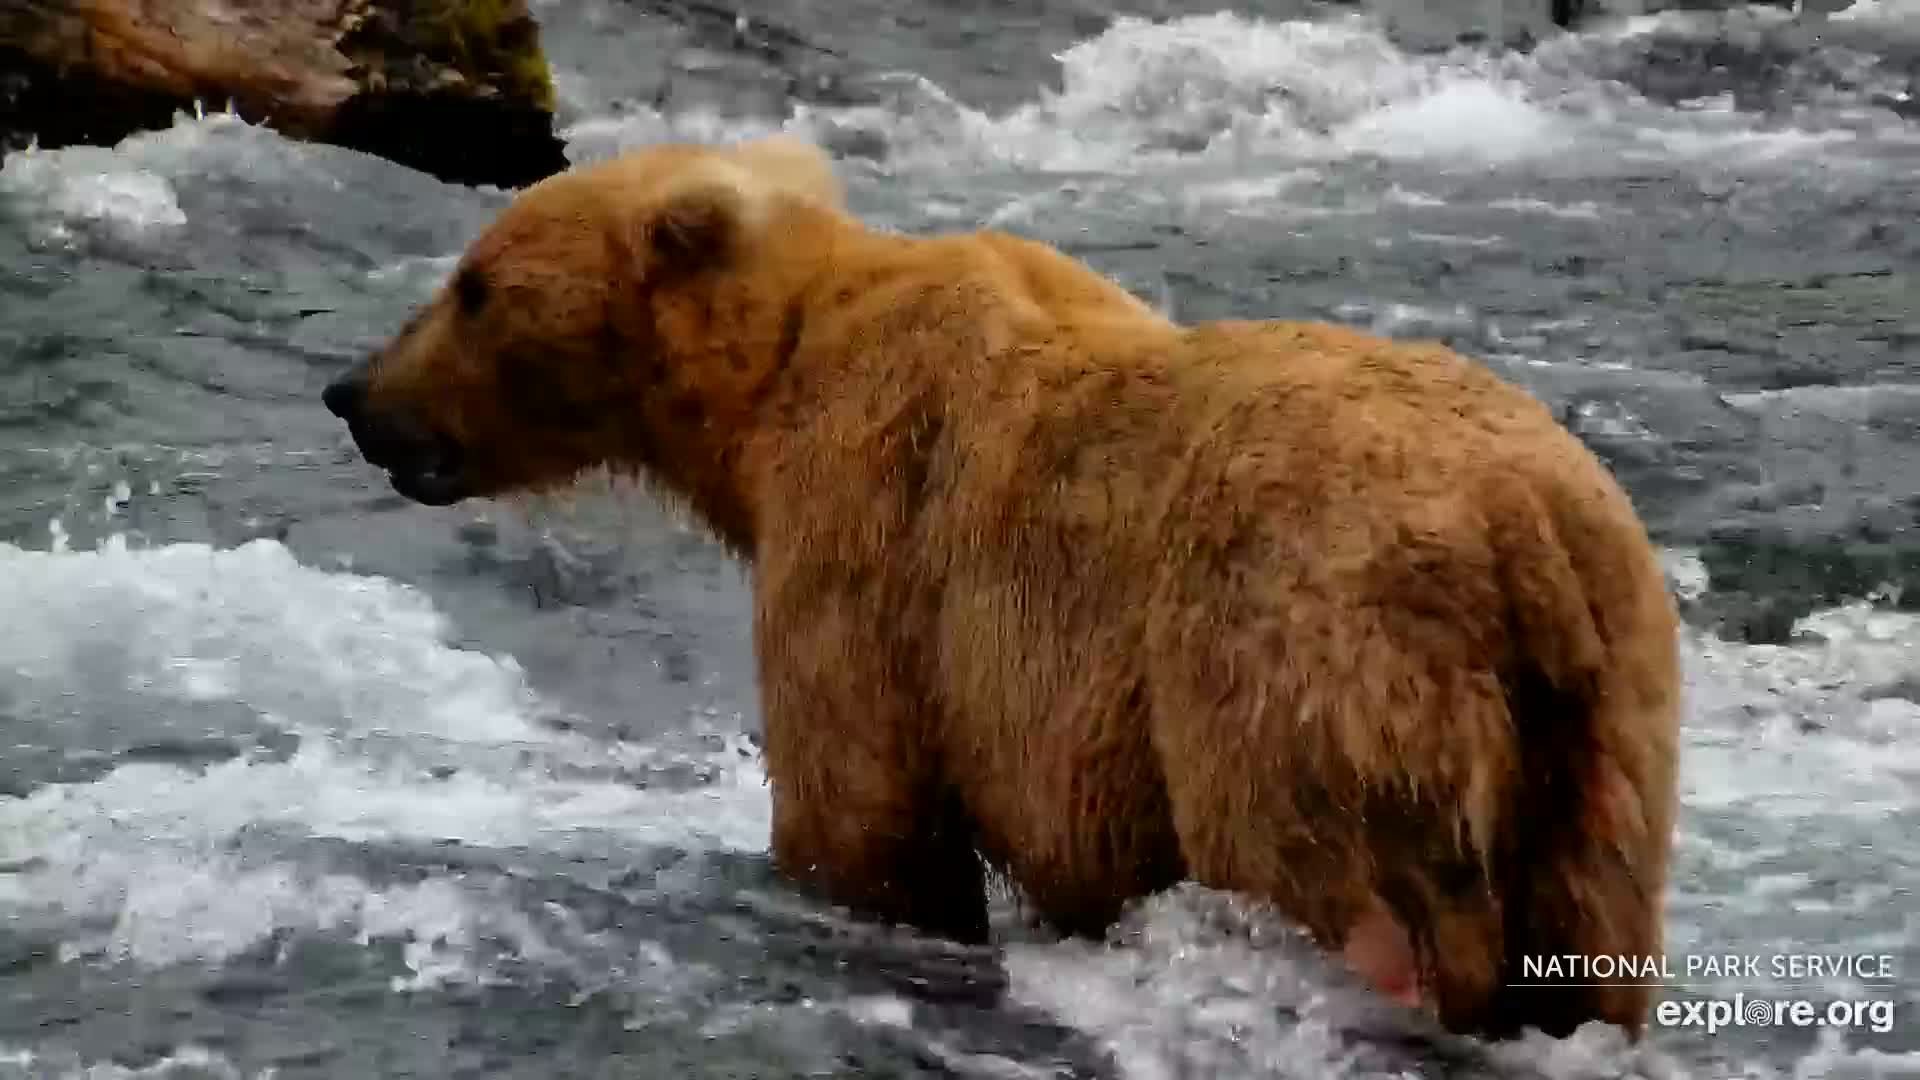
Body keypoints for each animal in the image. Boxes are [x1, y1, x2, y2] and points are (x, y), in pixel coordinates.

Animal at [321, 134, 1683, 1042]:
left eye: (473, 284)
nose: (354, 393)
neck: (763, 400)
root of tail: (1524, 529)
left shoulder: (871, 535)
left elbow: (861, 809)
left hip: (1308, 660)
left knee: (1338, 882)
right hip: (1606, 720)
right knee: (1595, 935)